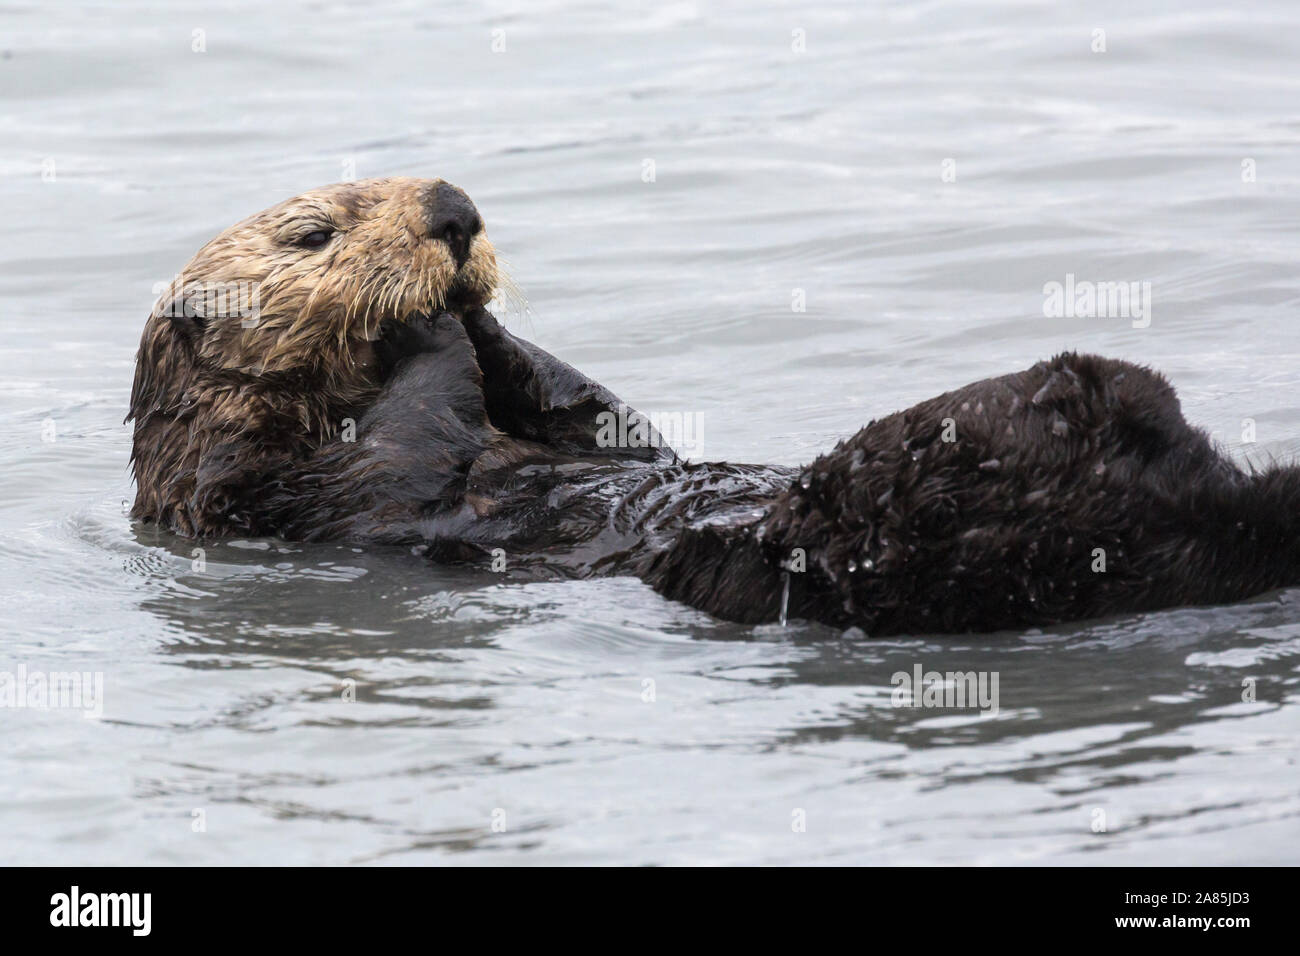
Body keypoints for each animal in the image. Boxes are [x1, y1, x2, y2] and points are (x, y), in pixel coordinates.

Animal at [128, 177, 1300, 634]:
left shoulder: (586, 427)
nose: (453, 210)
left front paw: (489, 321)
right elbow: (406, 456)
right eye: (311, 233)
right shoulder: (279, 492)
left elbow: (605, 421)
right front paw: (428, 322)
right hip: (898, 518)